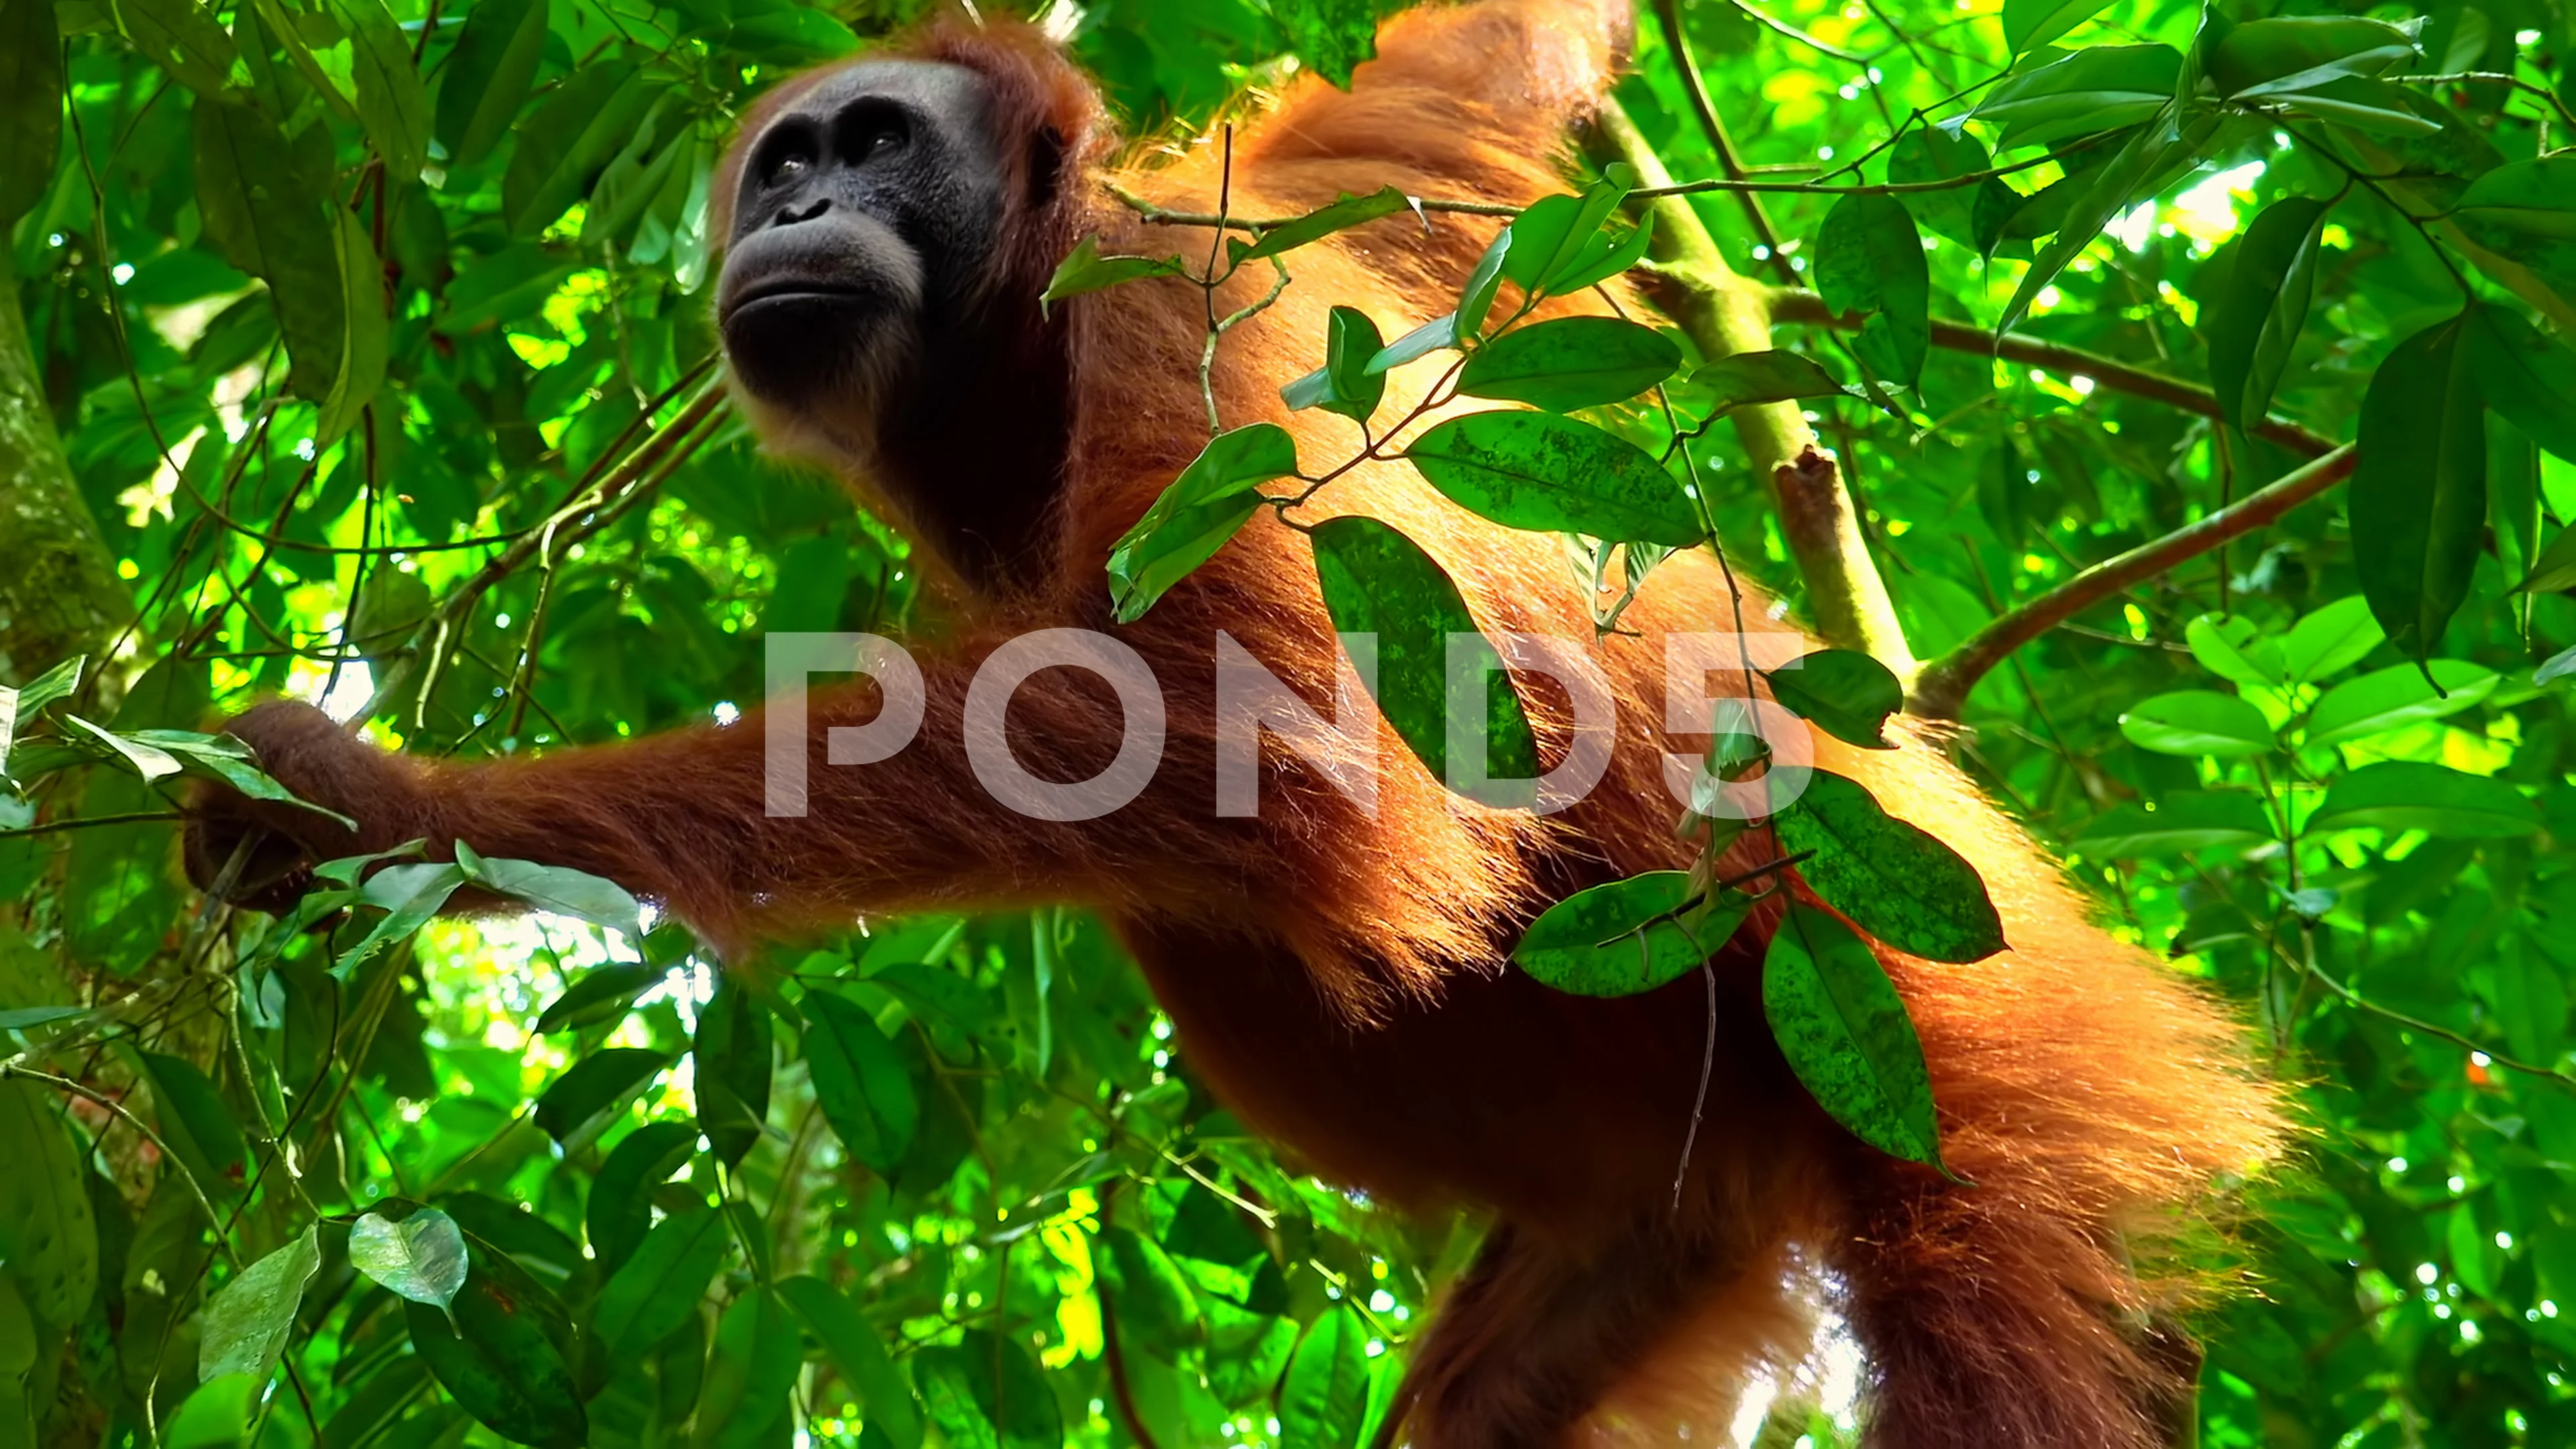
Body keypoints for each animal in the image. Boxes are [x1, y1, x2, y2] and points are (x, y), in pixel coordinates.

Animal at [187, 3, 2287, 1445]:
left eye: (870, 146)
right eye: (785, 163)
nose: (798, 206)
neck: (1018, 343)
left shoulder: (1181, 312)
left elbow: (1274, 749)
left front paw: (375, 810)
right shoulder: (1338, 172)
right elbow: (1475, 68)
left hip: (1961, 1033)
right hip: (1669, 1223)